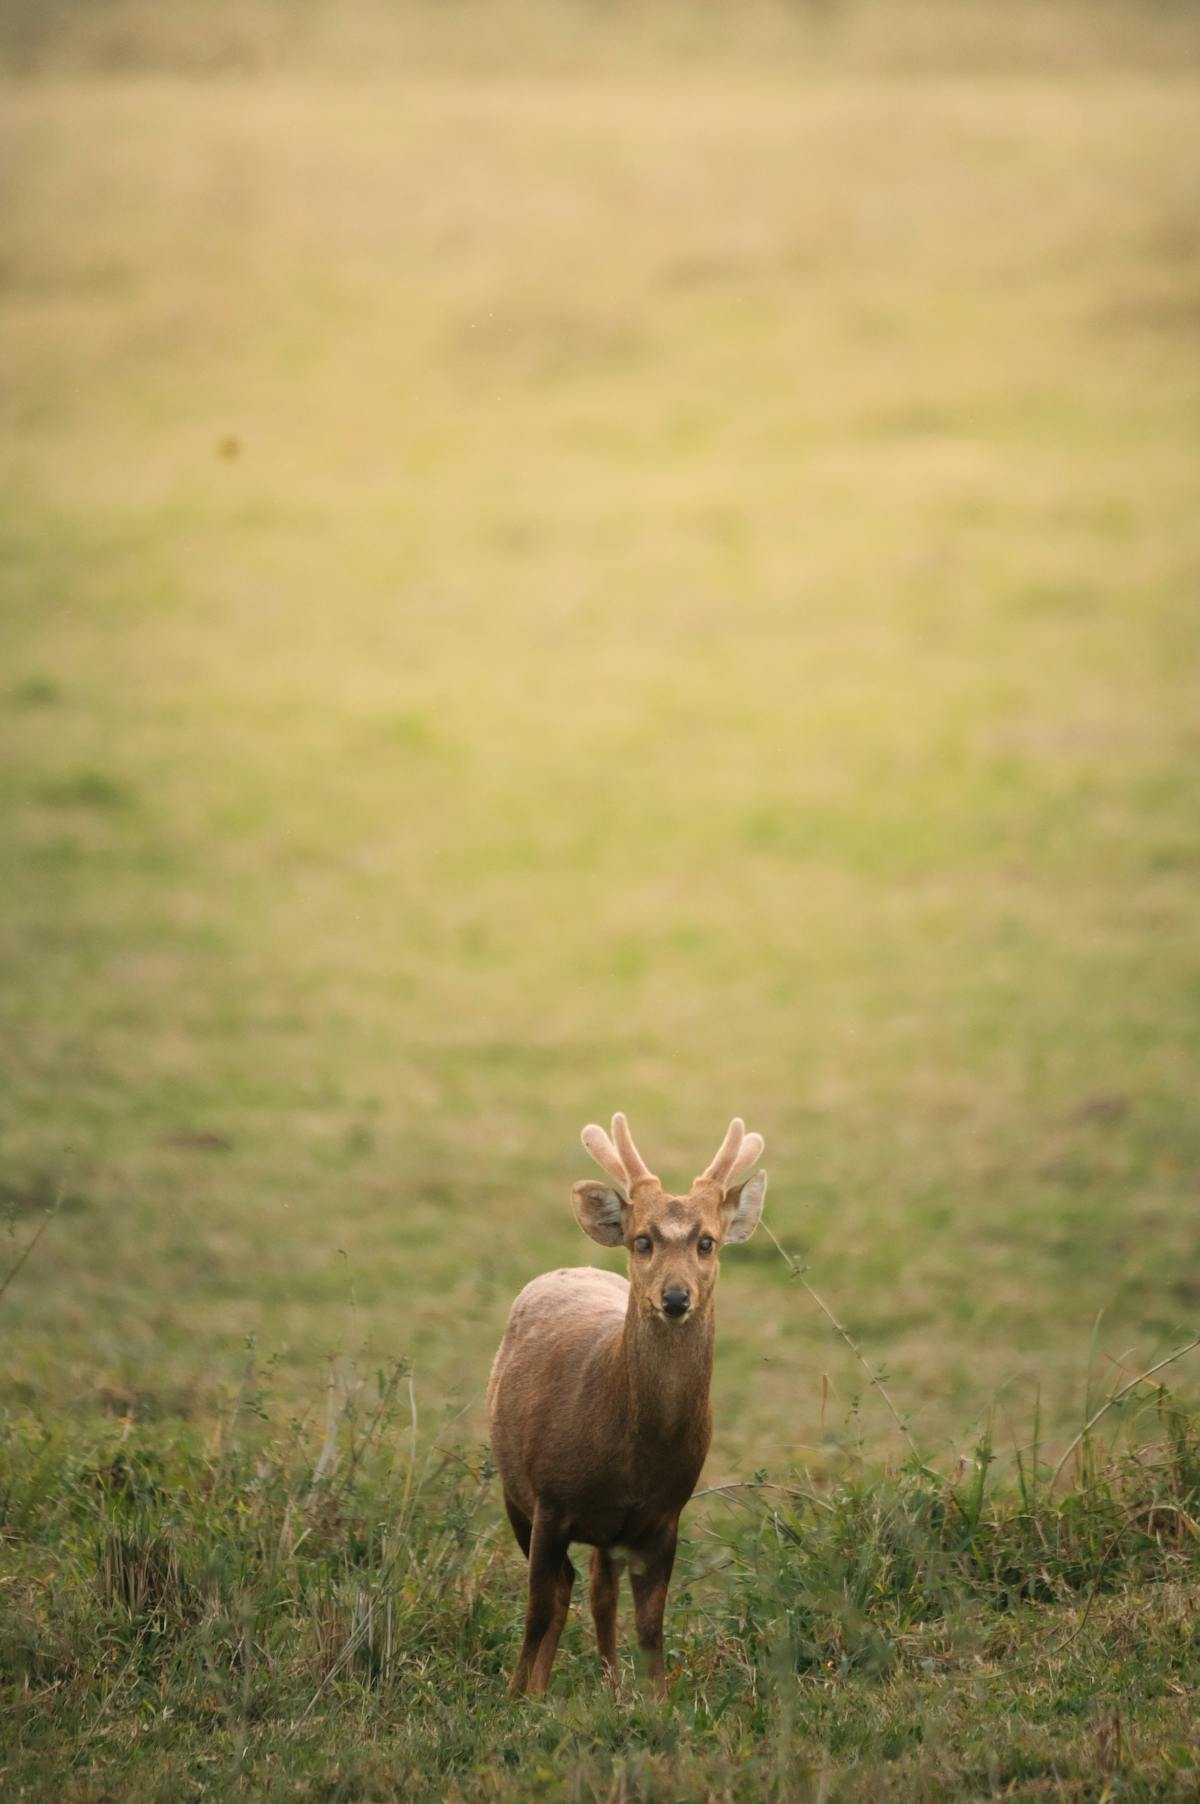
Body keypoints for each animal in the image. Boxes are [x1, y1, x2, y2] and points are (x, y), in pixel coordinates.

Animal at [486, 1112, 767, 1698]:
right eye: (643, 1241)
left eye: (707, 1242)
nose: (676, 1298)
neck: (632, 1453)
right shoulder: (548, 1497)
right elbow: (537, 1609)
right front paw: (517, 1696)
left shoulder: (662, 1515)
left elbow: (650, 1626)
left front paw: (654, 1700)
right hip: (513, 1487)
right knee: (566, 1589)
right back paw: (543, 1687)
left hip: (606, 1530)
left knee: (597, 1589)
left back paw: (610, 1684)